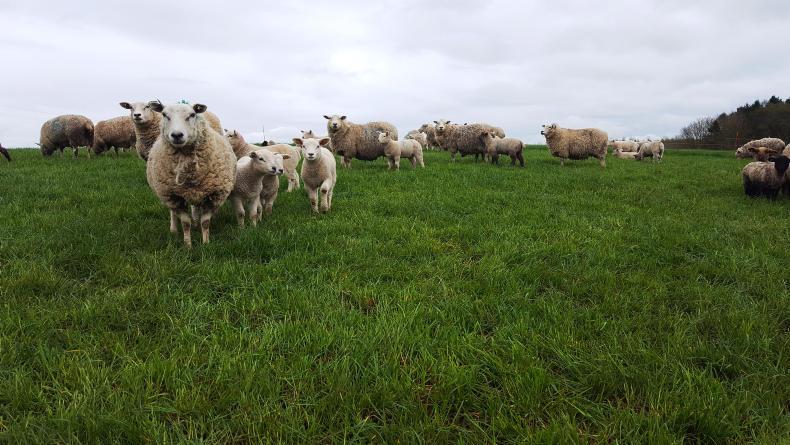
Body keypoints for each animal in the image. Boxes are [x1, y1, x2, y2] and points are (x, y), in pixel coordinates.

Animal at [145, 102, 236, 247]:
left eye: (192, 114)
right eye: (164, 114)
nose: (177, 135)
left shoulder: (213, 194)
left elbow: (205, 222)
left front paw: (206, 243)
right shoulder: (174, 196)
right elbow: (185, 223)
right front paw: (188, 245)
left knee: (195, 208)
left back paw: (196, 223)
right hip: (168, 195)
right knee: (173, 213)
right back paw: (174, 229)